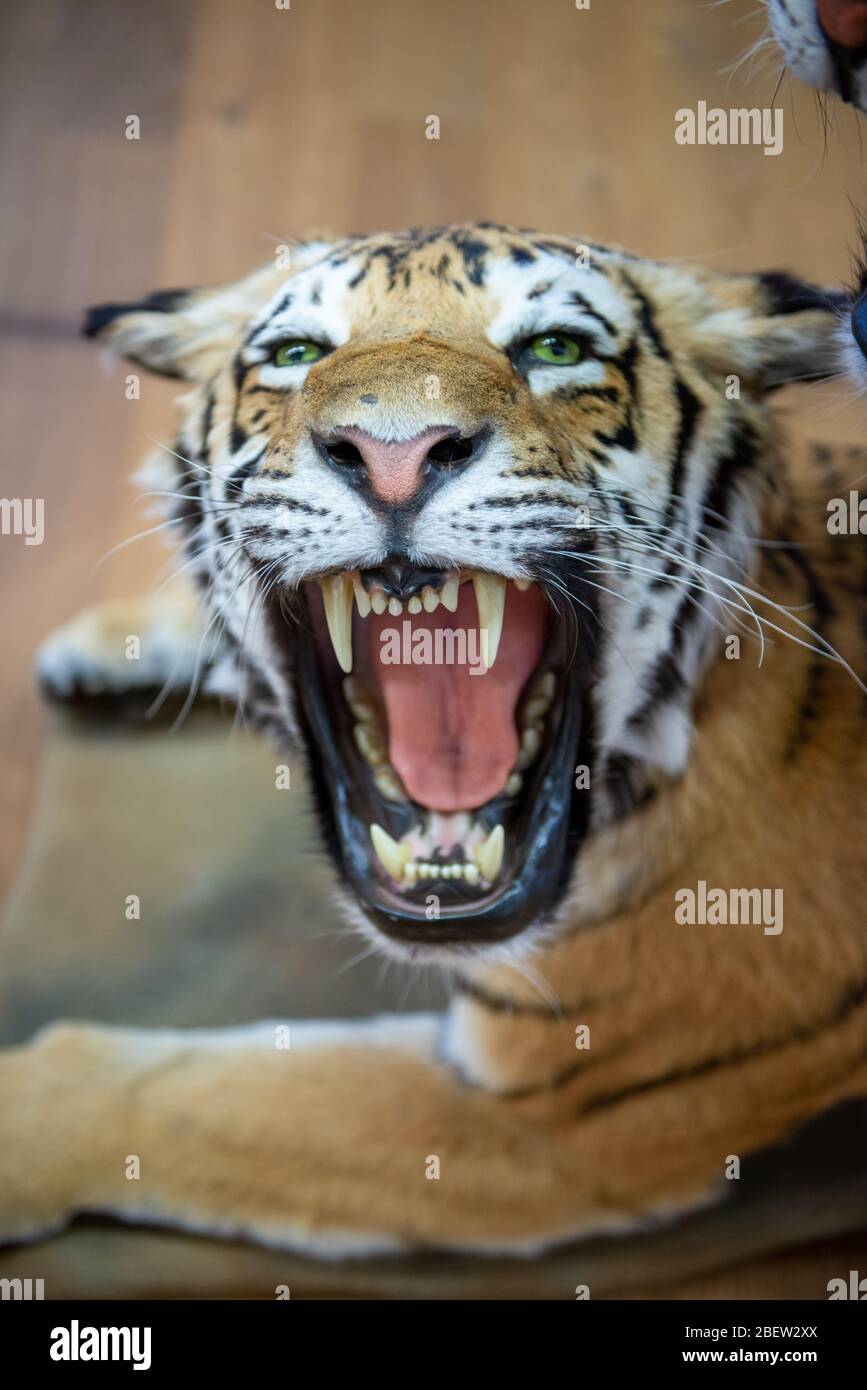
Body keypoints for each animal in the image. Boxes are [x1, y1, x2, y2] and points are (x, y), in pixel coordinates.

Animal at [2, 222, 866, 1262]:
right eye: (295, 354)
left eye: (556, 349)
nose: (394, 456)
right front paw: (114, 638)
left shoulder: (545, 1107)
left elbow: (164, 1086)